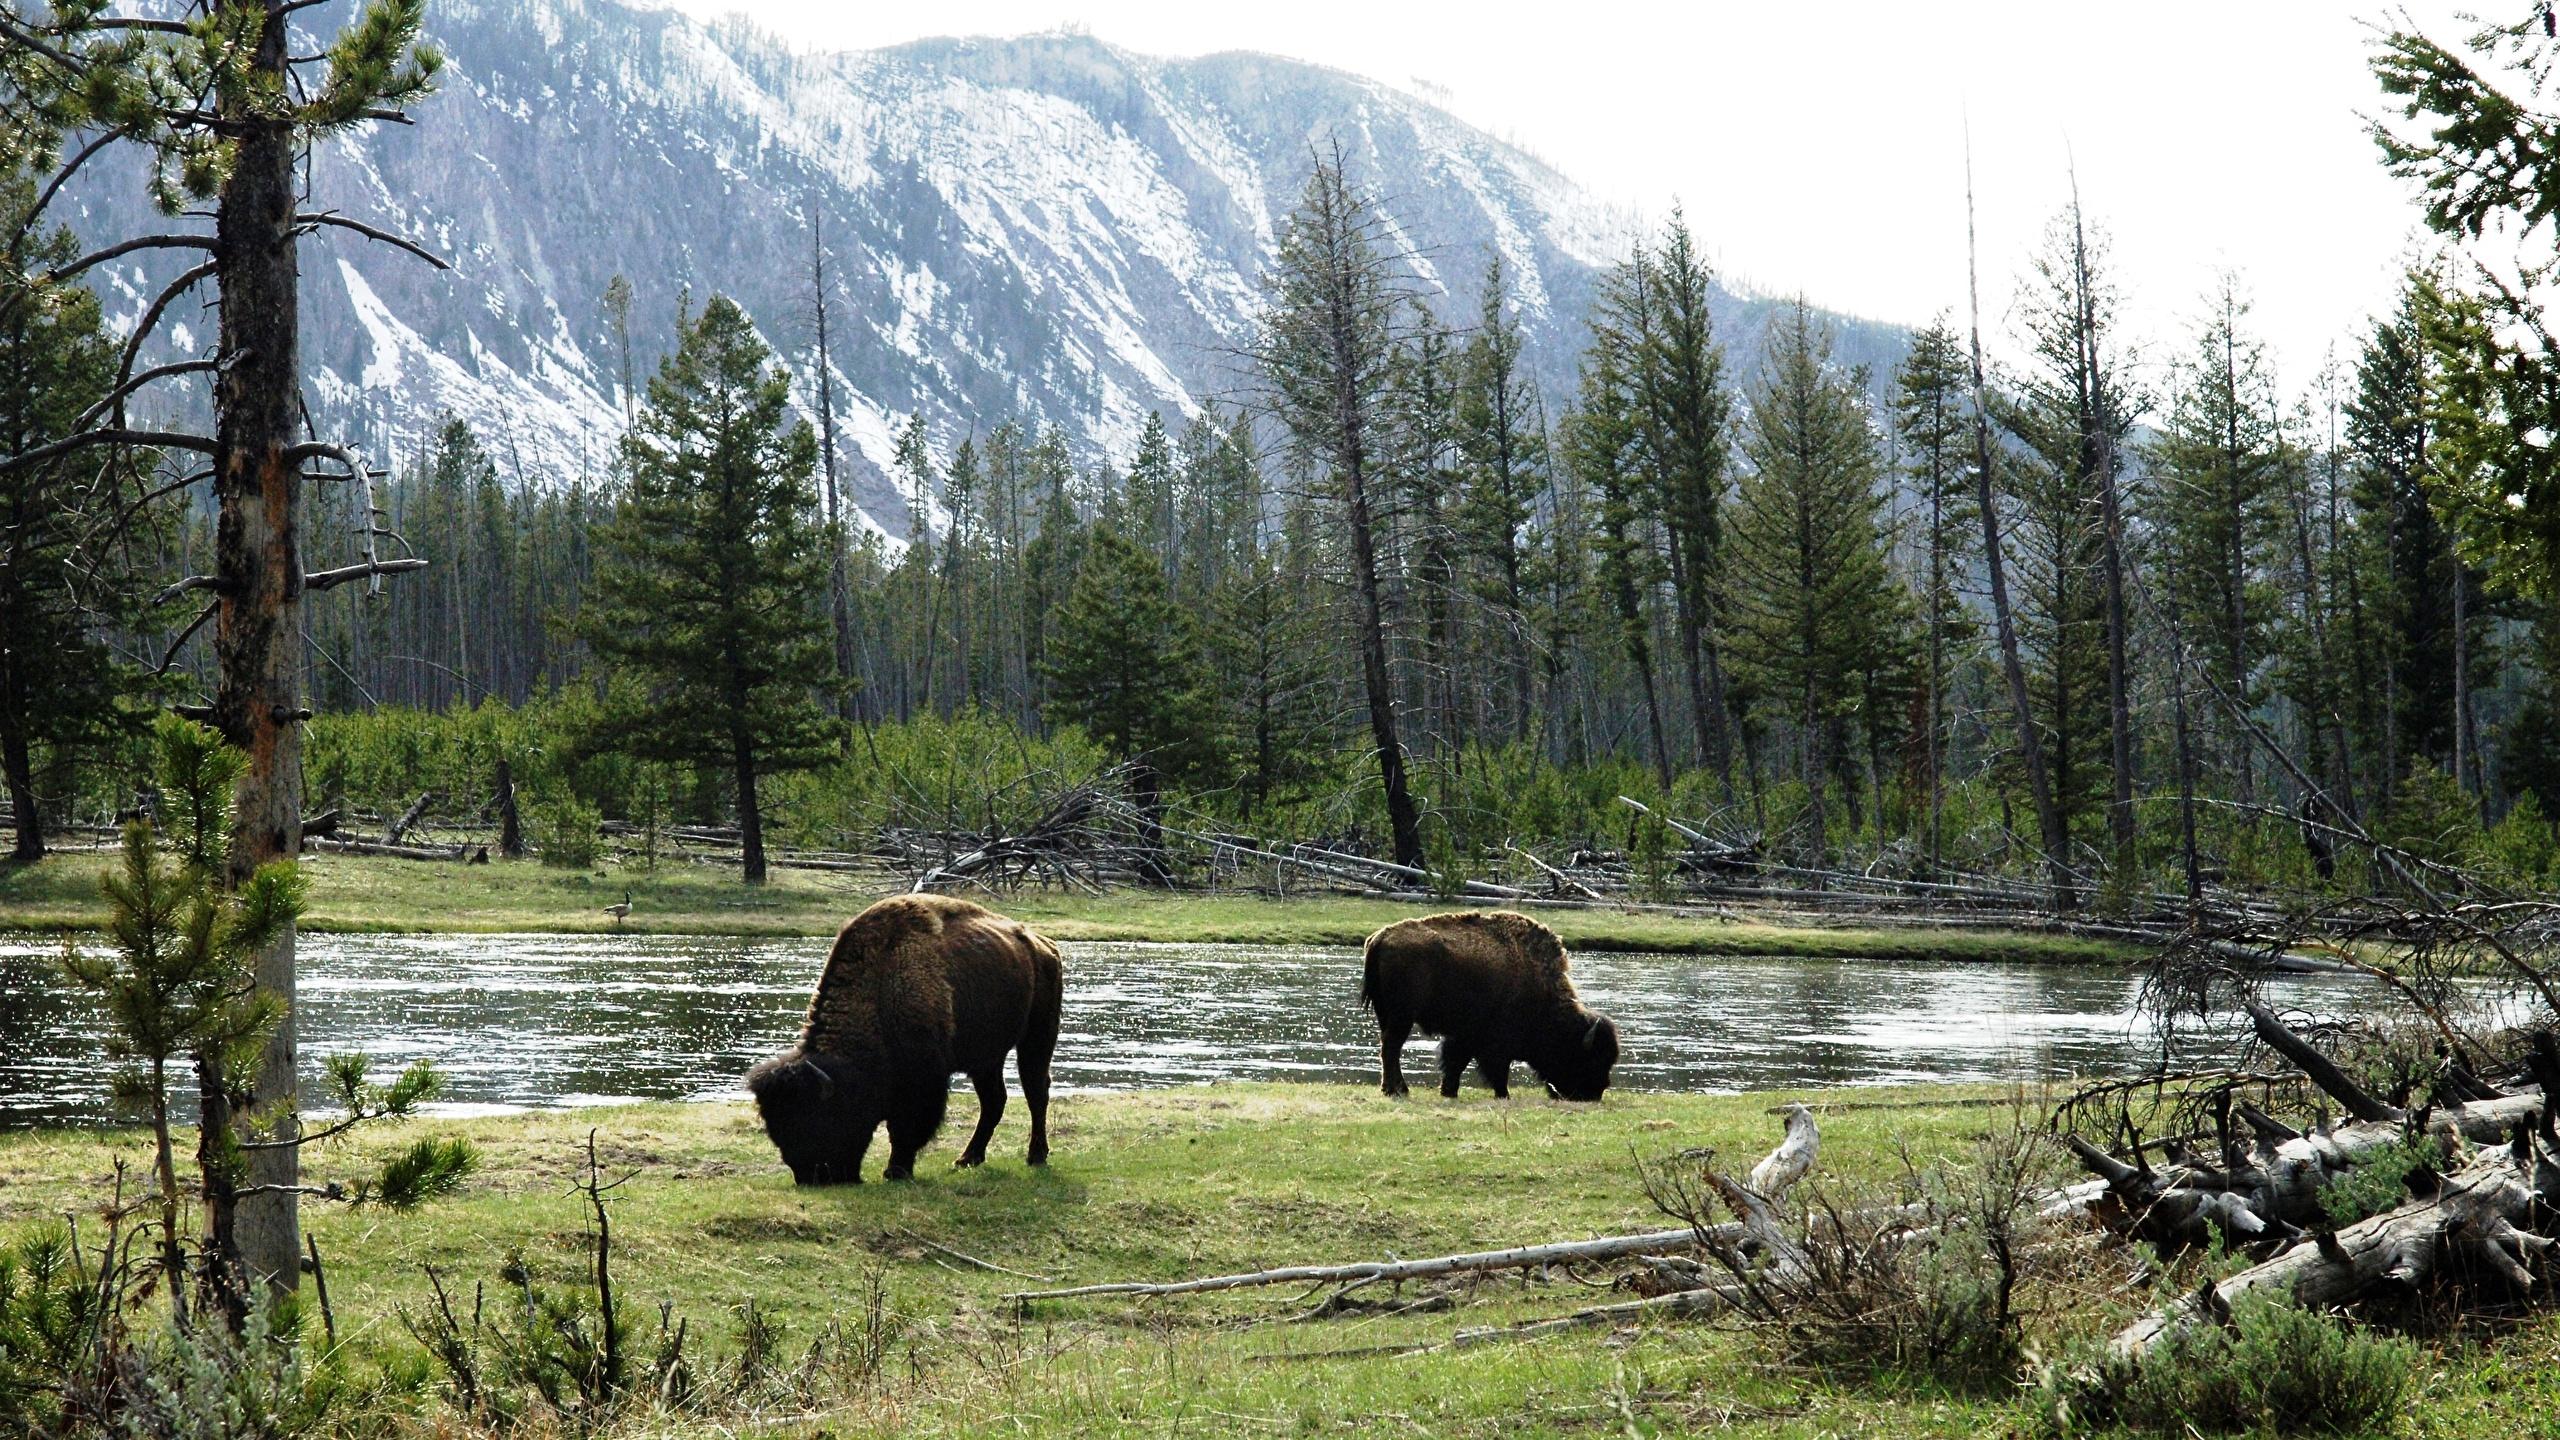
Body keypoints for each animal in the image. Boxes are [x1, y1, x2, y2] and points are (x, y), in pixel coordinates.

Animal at [746, 894, 1063, 1183]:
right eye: (776, 1130)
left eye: (817, 1119)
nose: (813, 1178)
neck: (879, 989)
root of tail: (1044, 946)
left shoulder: (923, 1080)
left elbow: (905, 1128)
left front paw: (896, 1171)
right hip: (986, 1059)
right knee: (994, 1100)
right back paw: (967, 1158)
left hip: (1037, 1038)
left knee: (1036, 1092)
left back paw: (1035, 1156)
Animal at [1359, 910, 1619, 1101]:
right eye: (1591, 1059)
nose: (1594, 1094)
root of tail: (1379, 938)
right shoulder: (1495, 1044)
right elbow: (1496, 1070)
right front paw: (1504, 1094)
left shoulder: (1464, 1036)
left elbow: (1455, 1062)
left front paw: (1449, 1091)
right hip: (1401, 1017)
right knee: (1391, 1048)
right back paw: (1397, 1090)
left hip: (1387, 1014)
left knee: (1389, 1048)